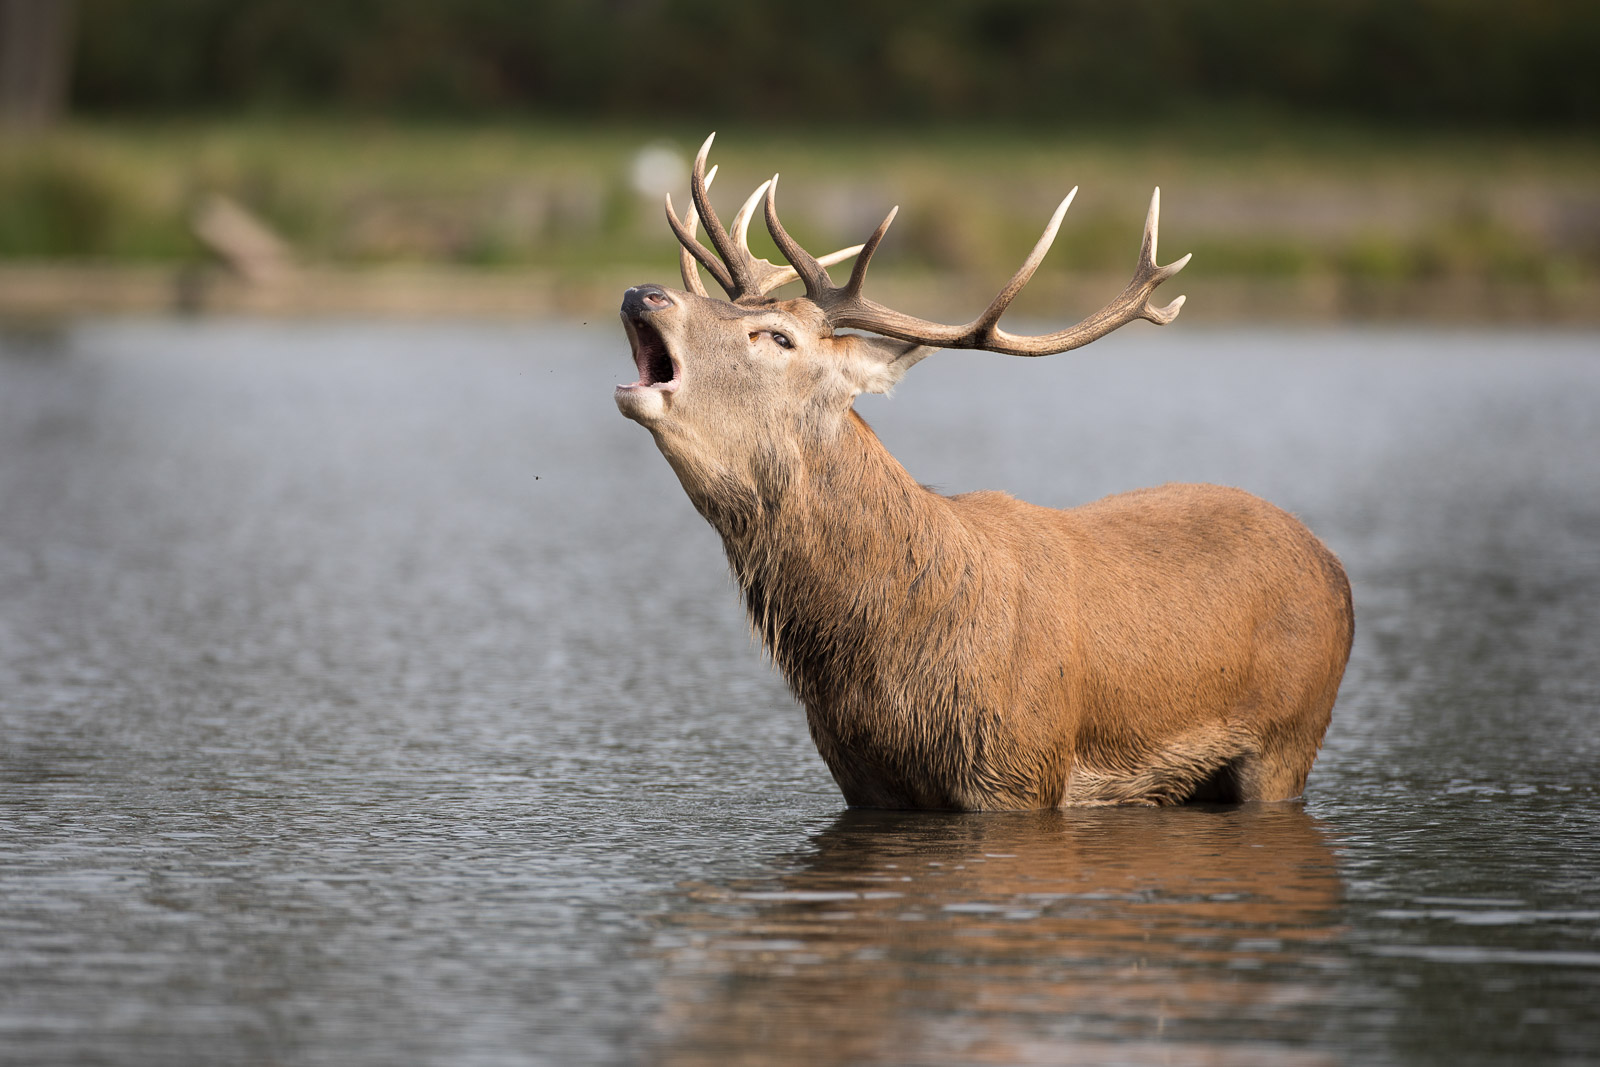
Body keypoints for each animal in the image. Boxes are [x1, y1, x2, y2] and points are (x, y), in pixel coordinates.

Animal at [615, 135, 1353, 811]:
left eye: (776, 336)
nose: (643, 292)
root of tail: (1334, 568)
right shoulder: (862, 784)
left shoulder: (1021, 768)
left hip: (1291, 736)